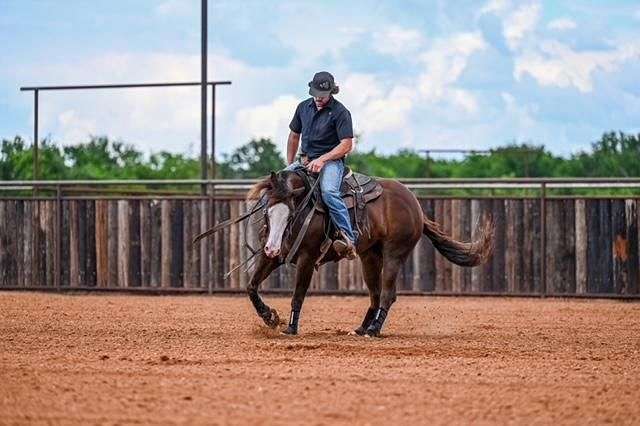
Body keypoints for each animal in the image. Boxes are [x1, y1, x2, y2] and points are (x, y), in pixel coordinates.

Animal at [245, 170, 495, 337]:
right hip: (370, 257)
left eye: (290, 213)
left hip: (394, 254)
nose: (272, 246)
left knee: (387, 294)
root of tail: (416, 206)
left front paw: (291, 327)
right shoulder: (271, 257)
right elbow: (251, 286)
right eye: (267, 211)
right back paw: (362, 328)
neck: (307, 207)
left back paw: (374, 329)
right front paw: (269, 317)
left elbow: (298, 294)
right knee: (375, 294)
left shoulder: (307, 257)